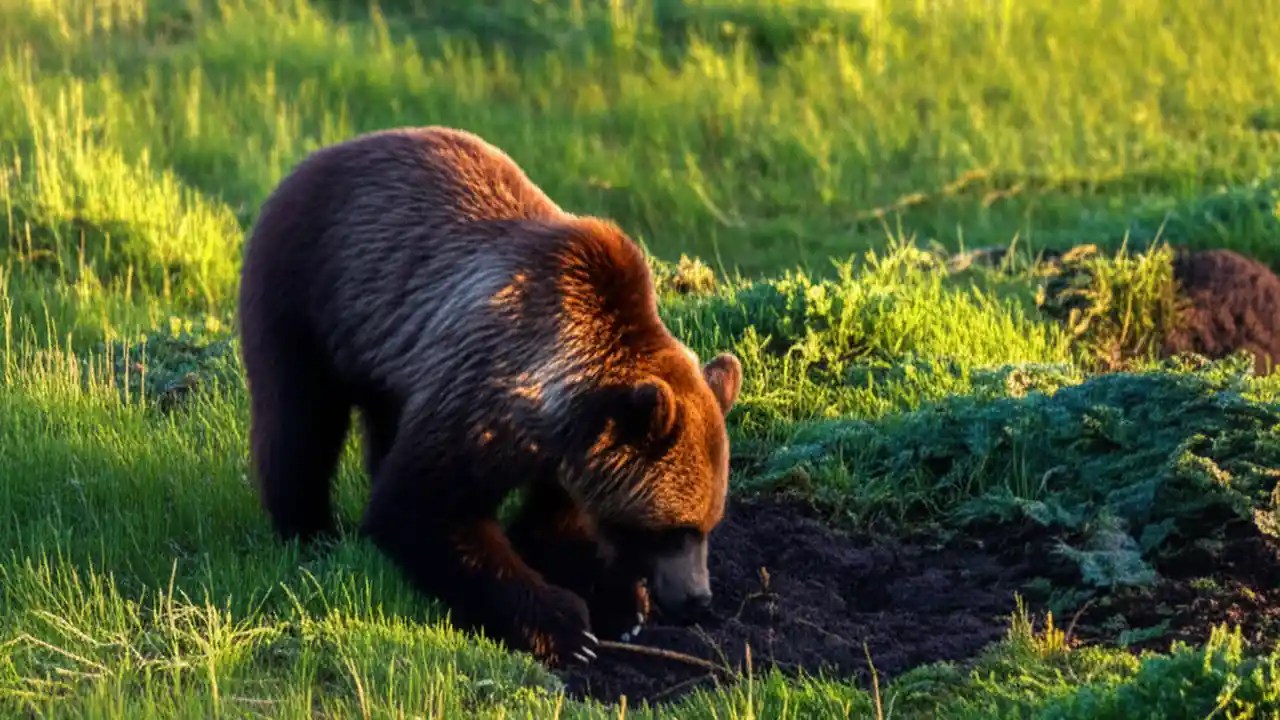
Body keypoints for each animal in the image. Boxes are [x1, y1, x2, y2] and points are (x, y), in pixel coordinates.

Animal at [236, 126, 743, 667]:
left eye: (709, 523)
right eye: (675, 529)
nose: (697, 599)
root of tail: (320, 155)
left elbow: (559, 519)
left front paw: (618, 601)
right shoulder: (486, 396)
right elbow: (423, 506)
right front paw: (568, 628)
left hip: (387, 358)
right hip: (308, 293)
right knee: (299, 423)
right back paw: (311, 531)